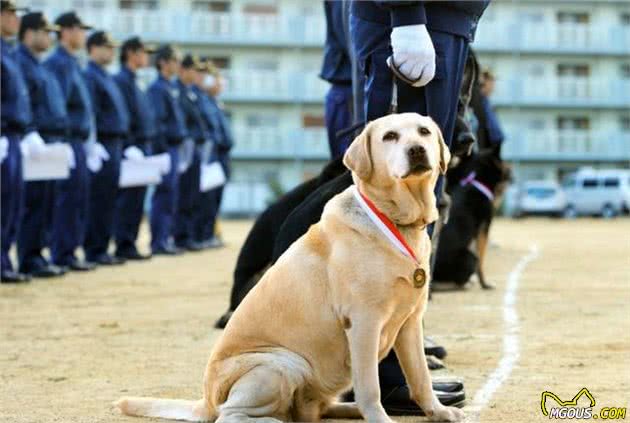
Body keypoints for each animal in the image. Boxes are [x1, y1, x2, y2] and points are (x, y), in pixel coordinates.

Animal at [117, 113, 464, 423]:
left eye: (423, 132)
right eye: (390, 136)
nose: (416, 150)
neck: (393, 220)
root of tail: (206, 401)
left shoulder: (410, 322)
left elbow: (420, 378)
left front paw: (438, 411)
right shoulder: (364, 323)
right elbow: (371, 388)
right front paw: (380, 418)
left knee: (314, 411)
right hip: (283, 363)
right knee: (231, 416)